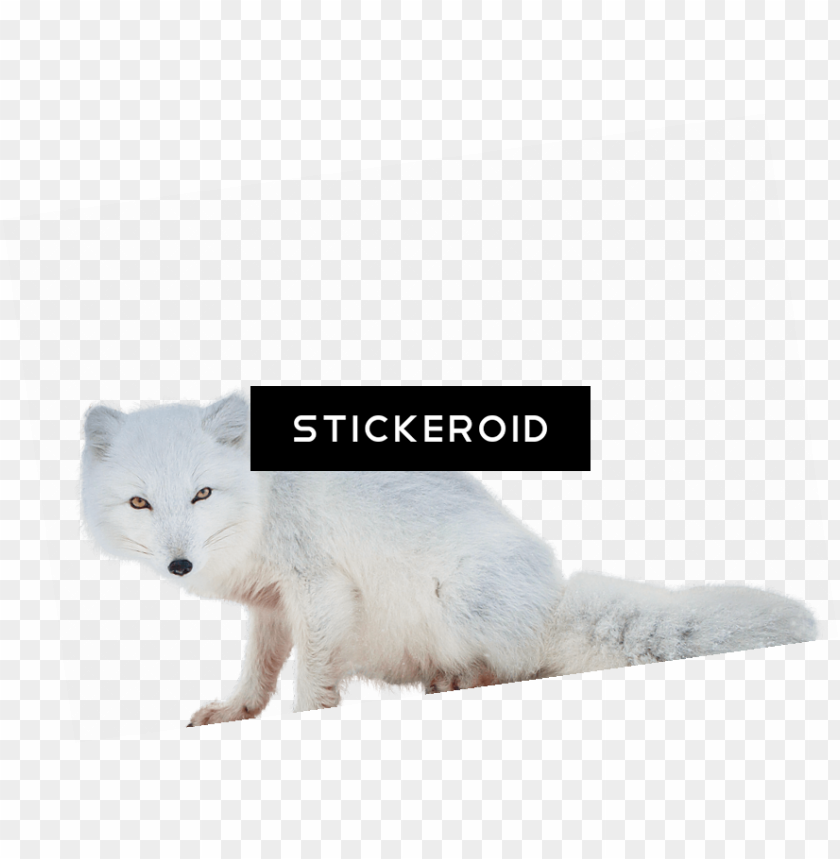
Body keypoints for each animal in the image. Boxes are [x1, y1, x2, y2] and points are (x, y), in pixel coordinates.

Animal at [79, 392, 818, 726]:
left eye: (202, 494)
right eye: (141, 502)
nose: (179, 566)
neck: (262, 502)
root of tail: (552, 598)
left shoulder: (319, 588)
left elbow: (312, 674)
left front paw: (306, 724)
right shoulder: (272, 604)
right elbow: (259, 670)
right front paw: (238, 710)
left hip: (464, 600)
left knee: (524, 667)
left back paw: (468, 682)